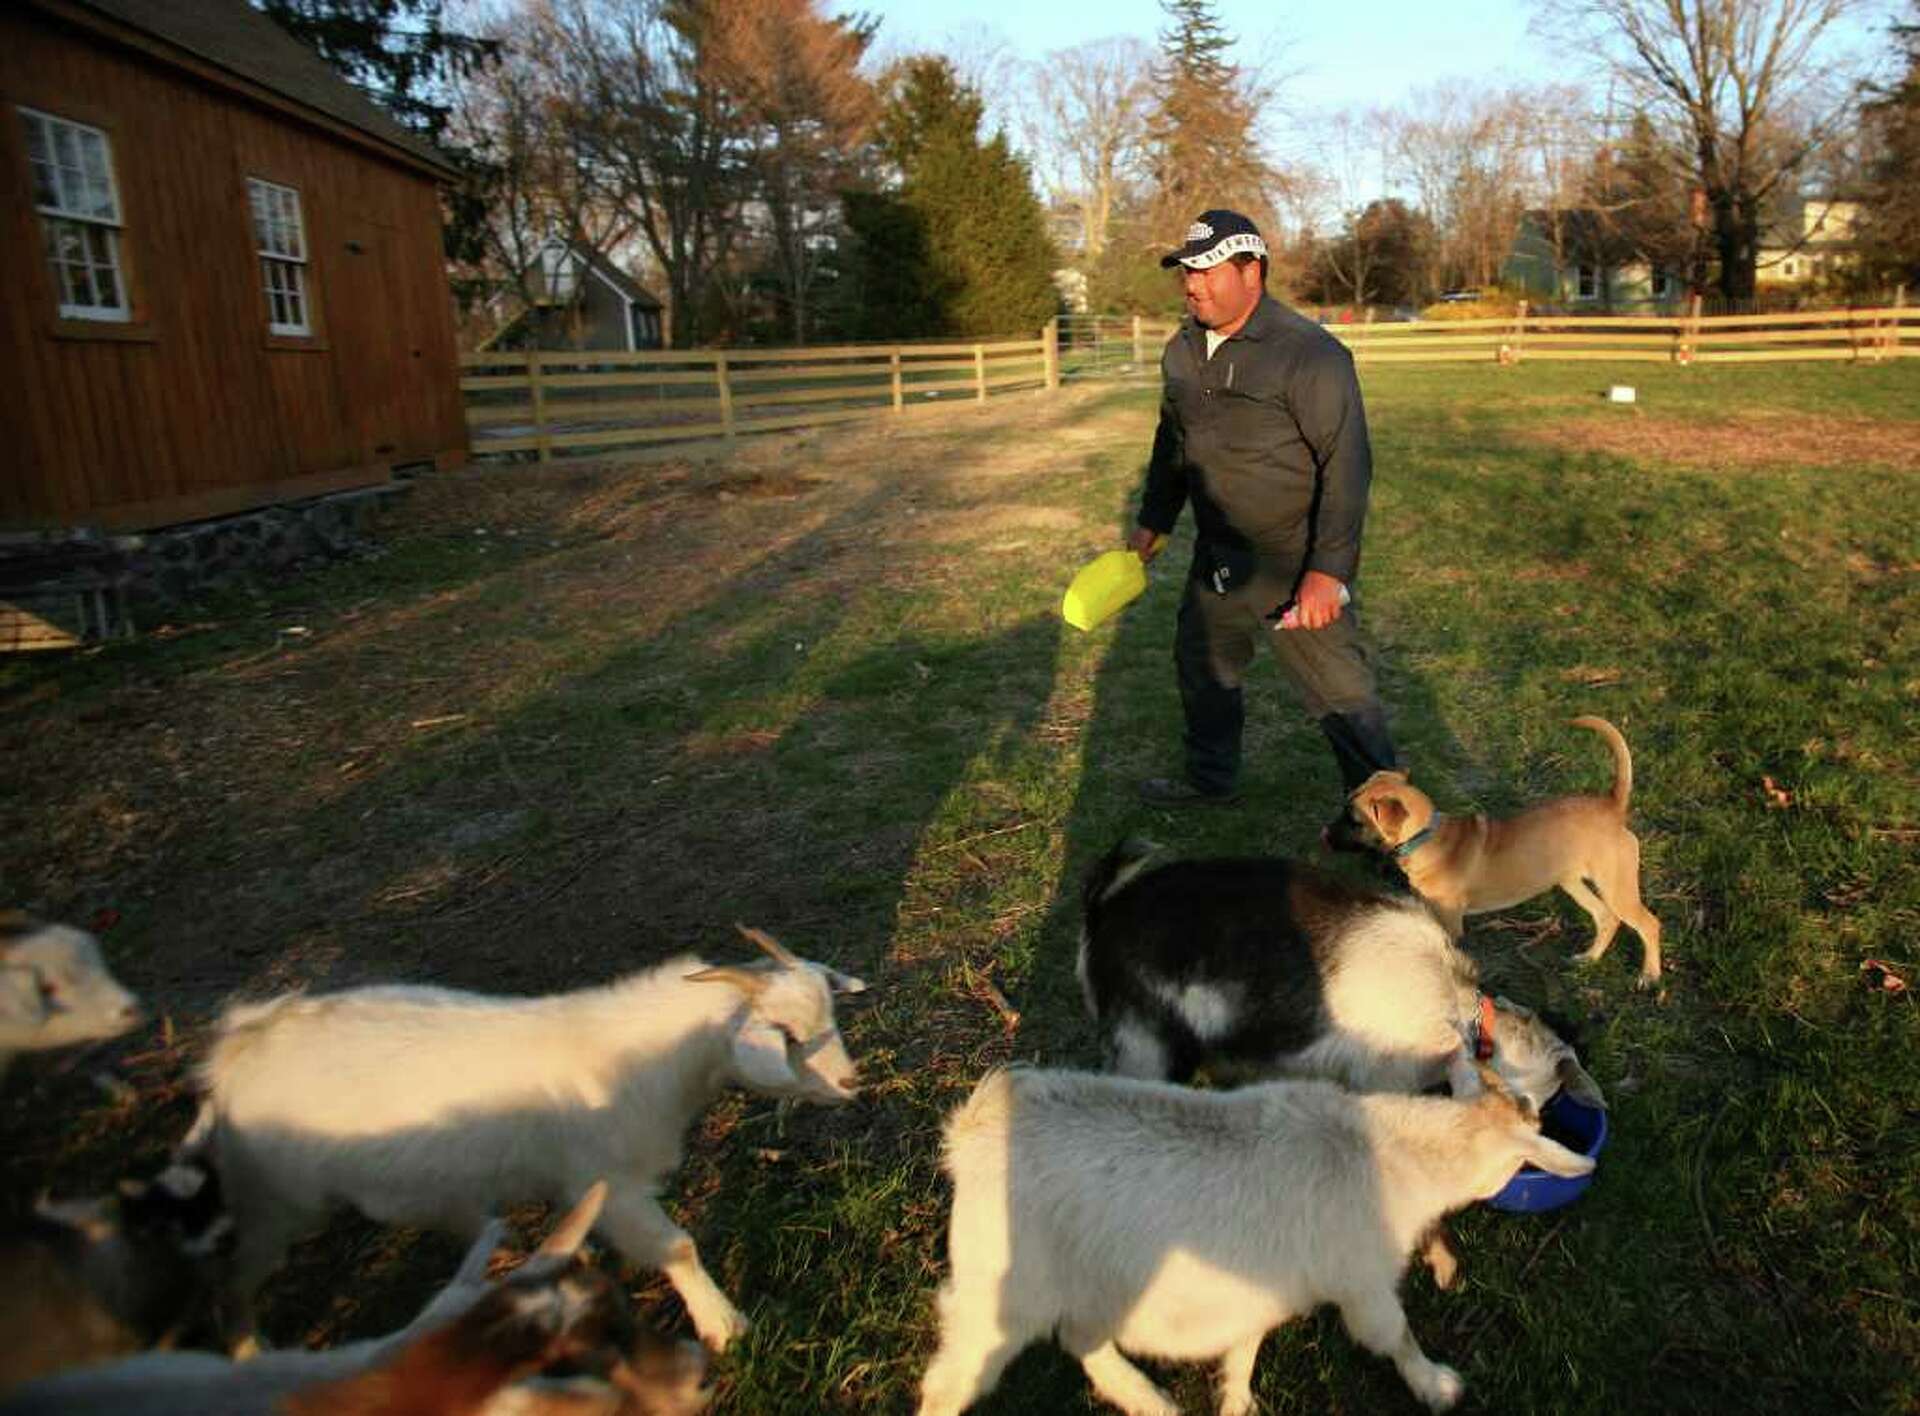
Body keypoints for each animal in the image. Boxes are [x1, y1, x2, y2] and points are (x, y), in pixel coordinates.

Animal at [188, 924, 863, 1351]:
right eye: (786, 1035)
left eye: (829, 1013)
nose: (851, 1083)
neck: (645, 1059)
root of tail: (234, 1057)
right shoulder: (611, 1183)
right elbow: (677, 1248)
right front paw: (724, 1325)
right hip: (276, 1203)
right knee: (233, 1278)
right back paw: (249, 1350)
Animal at [916, 1060, 1593, 1416]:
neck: (1386, 1152)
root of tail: (971, 1130)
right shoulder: (1363, 1283)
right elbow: (1394, 1336)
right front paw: (1437, 1385)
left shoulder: (1260, 1290)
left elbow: (1243, 1349)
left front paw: (1236, 1400)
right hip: (998, 1289)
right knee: (950, 1379)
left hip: (1088, 1280)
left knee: (1081, 1338)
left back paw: (1147, 1398)